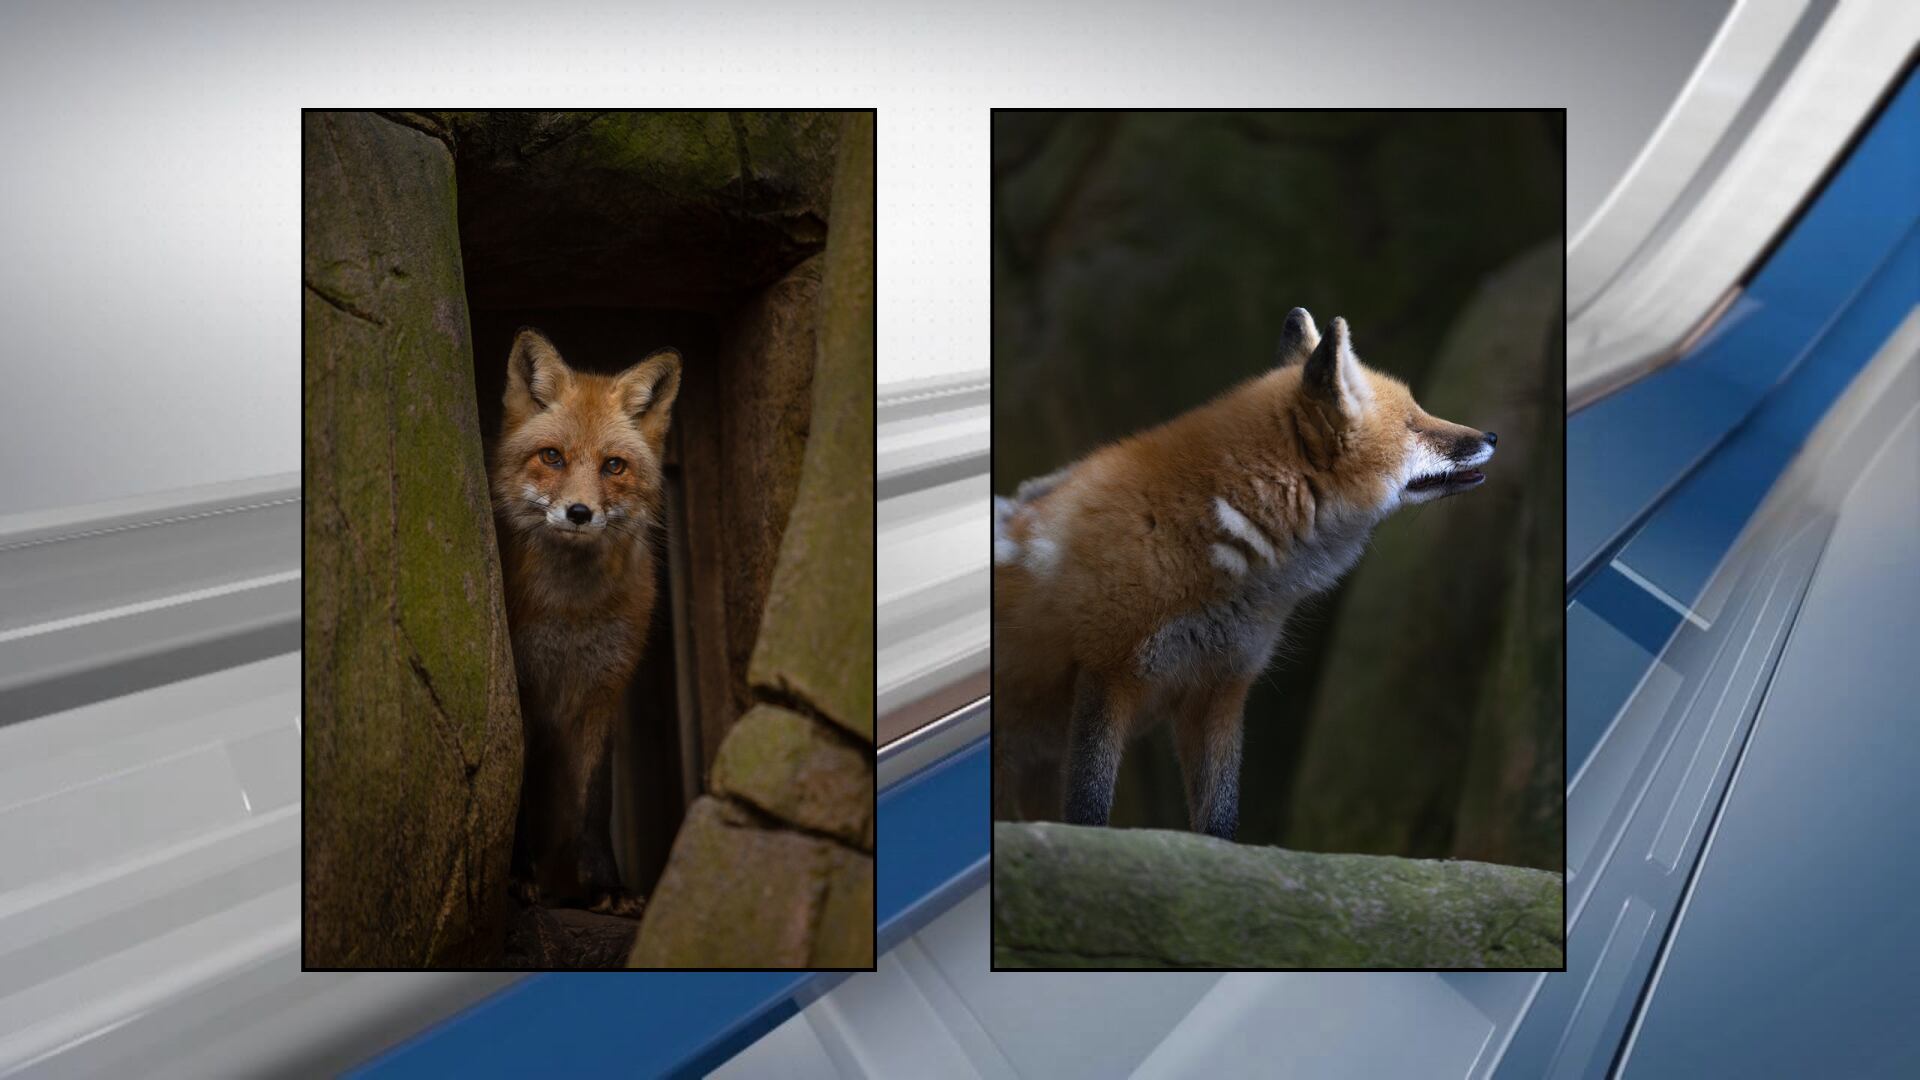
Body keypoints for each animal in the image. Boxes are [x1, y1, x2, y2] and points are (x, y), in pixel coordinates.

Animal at [490, 327, 680, 917]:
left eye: (613, 466)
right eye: (552, 457)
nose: (578, 513)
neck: (571, 613)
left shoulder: (602, 693)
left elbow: (594, 806)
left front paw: (606, 886)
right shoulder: (524, 690)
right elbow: (516, 789)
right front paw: (515, 877)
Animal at [992, 308, 1496, 841]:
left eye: (1421, 413)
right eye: (1414, 425)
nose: (1491, 437)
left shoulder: (1220, 686)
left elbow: (1219, 822)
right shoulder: (1108, 672)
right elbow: (1088, 811)